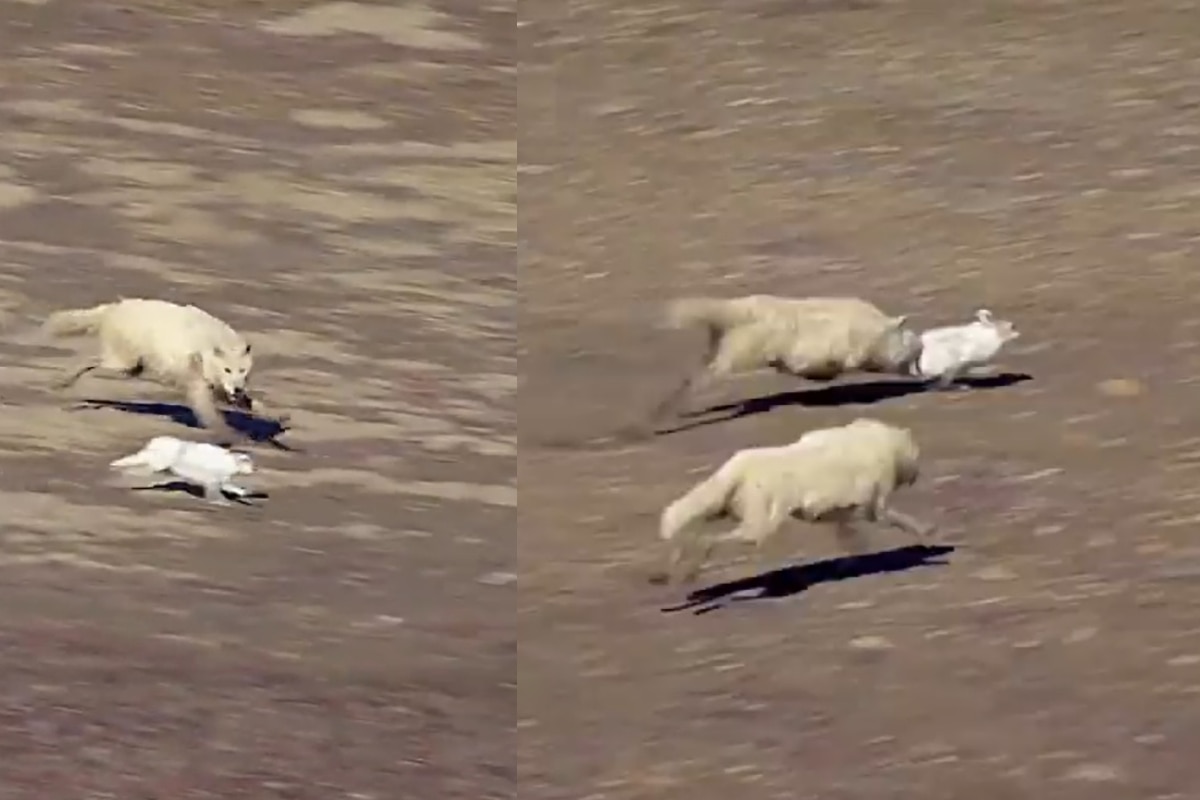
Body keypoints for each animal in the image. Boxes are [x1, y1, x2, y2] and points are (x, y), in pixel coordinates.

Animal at [43, 298, 286, 441]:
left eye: (242, 371)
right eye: (227, 369)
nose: (236, 389)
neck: (208, 347)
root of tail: (115, 307)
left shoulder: (221, 388)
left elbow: (253, 403)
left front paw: (274, 416)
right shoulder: (199, 385)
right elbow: (212, 415)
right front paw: (228, 434)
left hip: (133, 367)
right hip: (124, 364)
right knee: (89, 360)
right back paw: (65, 381)